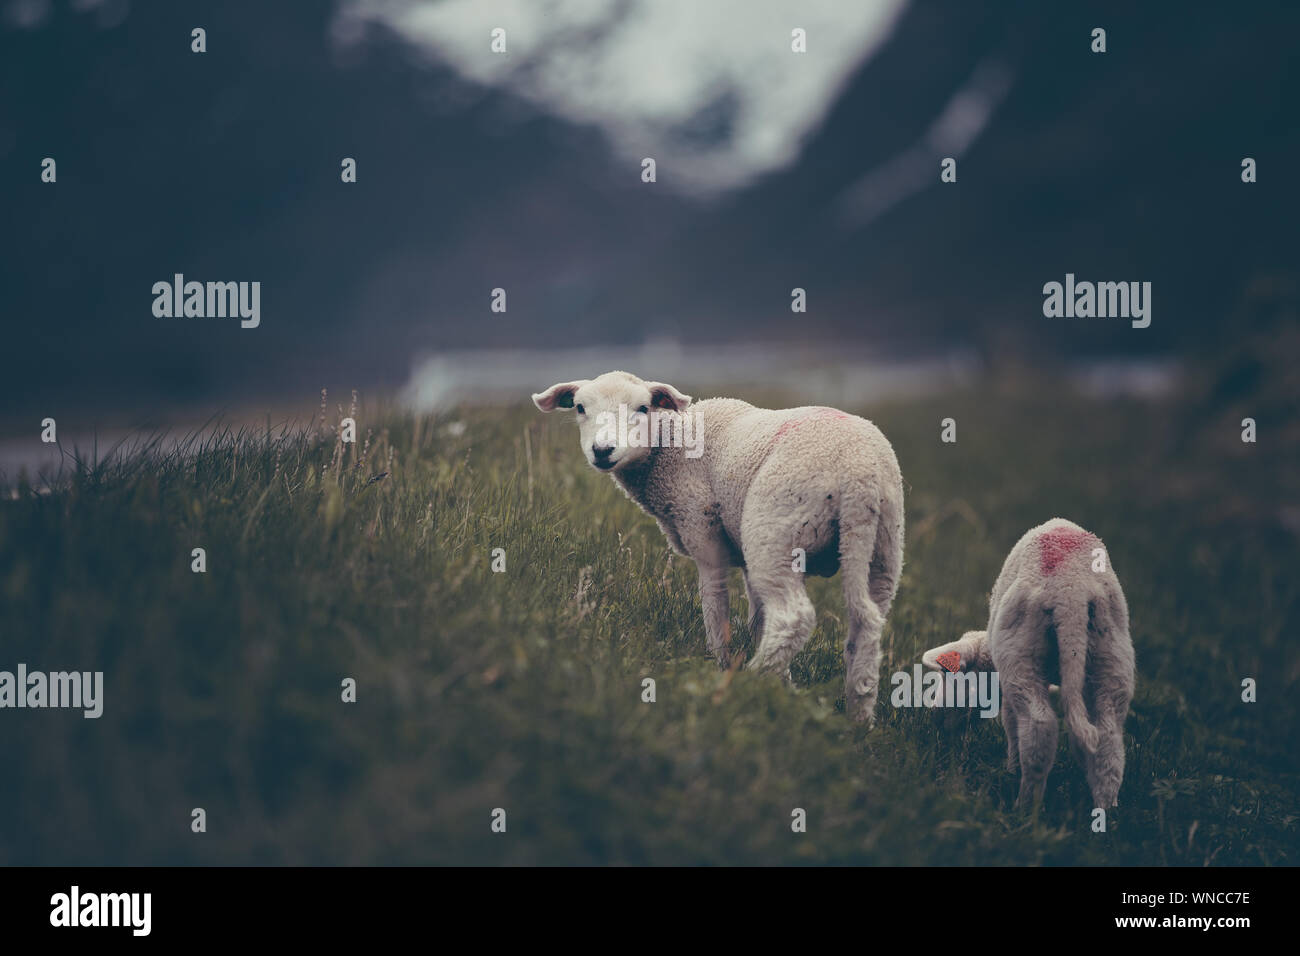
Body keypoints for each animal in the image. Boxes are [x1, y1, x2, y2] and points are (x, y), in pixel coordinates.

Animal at [532, 370, 904, 723]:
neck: (672, 447)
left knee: (794, 618)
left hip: (776, 527)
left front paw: (720, 663)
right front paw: (782, 684)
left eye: (643, 408)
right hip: (882, 547)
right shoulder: (743, 553)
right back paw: (859, 717)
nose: (602, 450)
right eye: (580, 408)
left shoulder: (702, 529)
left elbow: (715, 607)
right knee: (867, 622)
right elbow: (757, 618)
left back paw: (748, 682)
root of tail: (858, 475)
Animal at [921, 518, 1135, 808]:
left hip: (1022, 652)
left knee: (1038, 728)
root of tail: (1071, 591)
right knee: (1108, 736)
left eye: (949, 676)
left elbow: (1011, 724)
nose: (935, 720)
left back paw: (1024, 805)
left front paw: (1012, 769)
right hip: (1111, 653)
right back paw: (1106, 810)